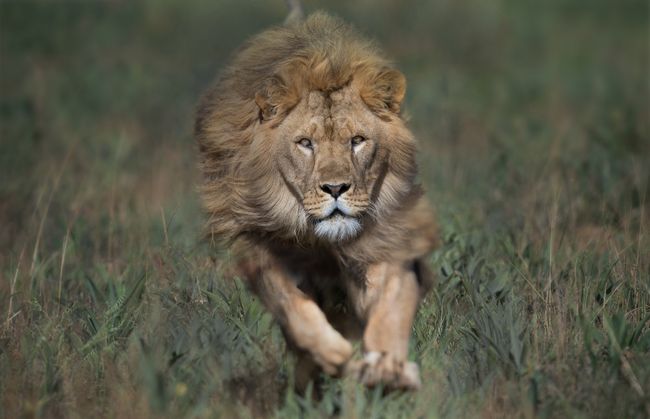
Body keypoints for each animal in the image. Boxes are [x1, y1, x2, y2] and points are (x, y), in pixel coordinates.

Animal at [195, 12, 438, 391]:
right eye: (305, 143)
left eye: (358, 140)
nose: (336, 188)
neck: (323, 243)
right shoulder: (261, 249)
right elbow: (292, 306)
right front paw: (331, 353)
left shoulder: (390, 241)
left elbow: (390, 304)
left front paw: (387, 367)